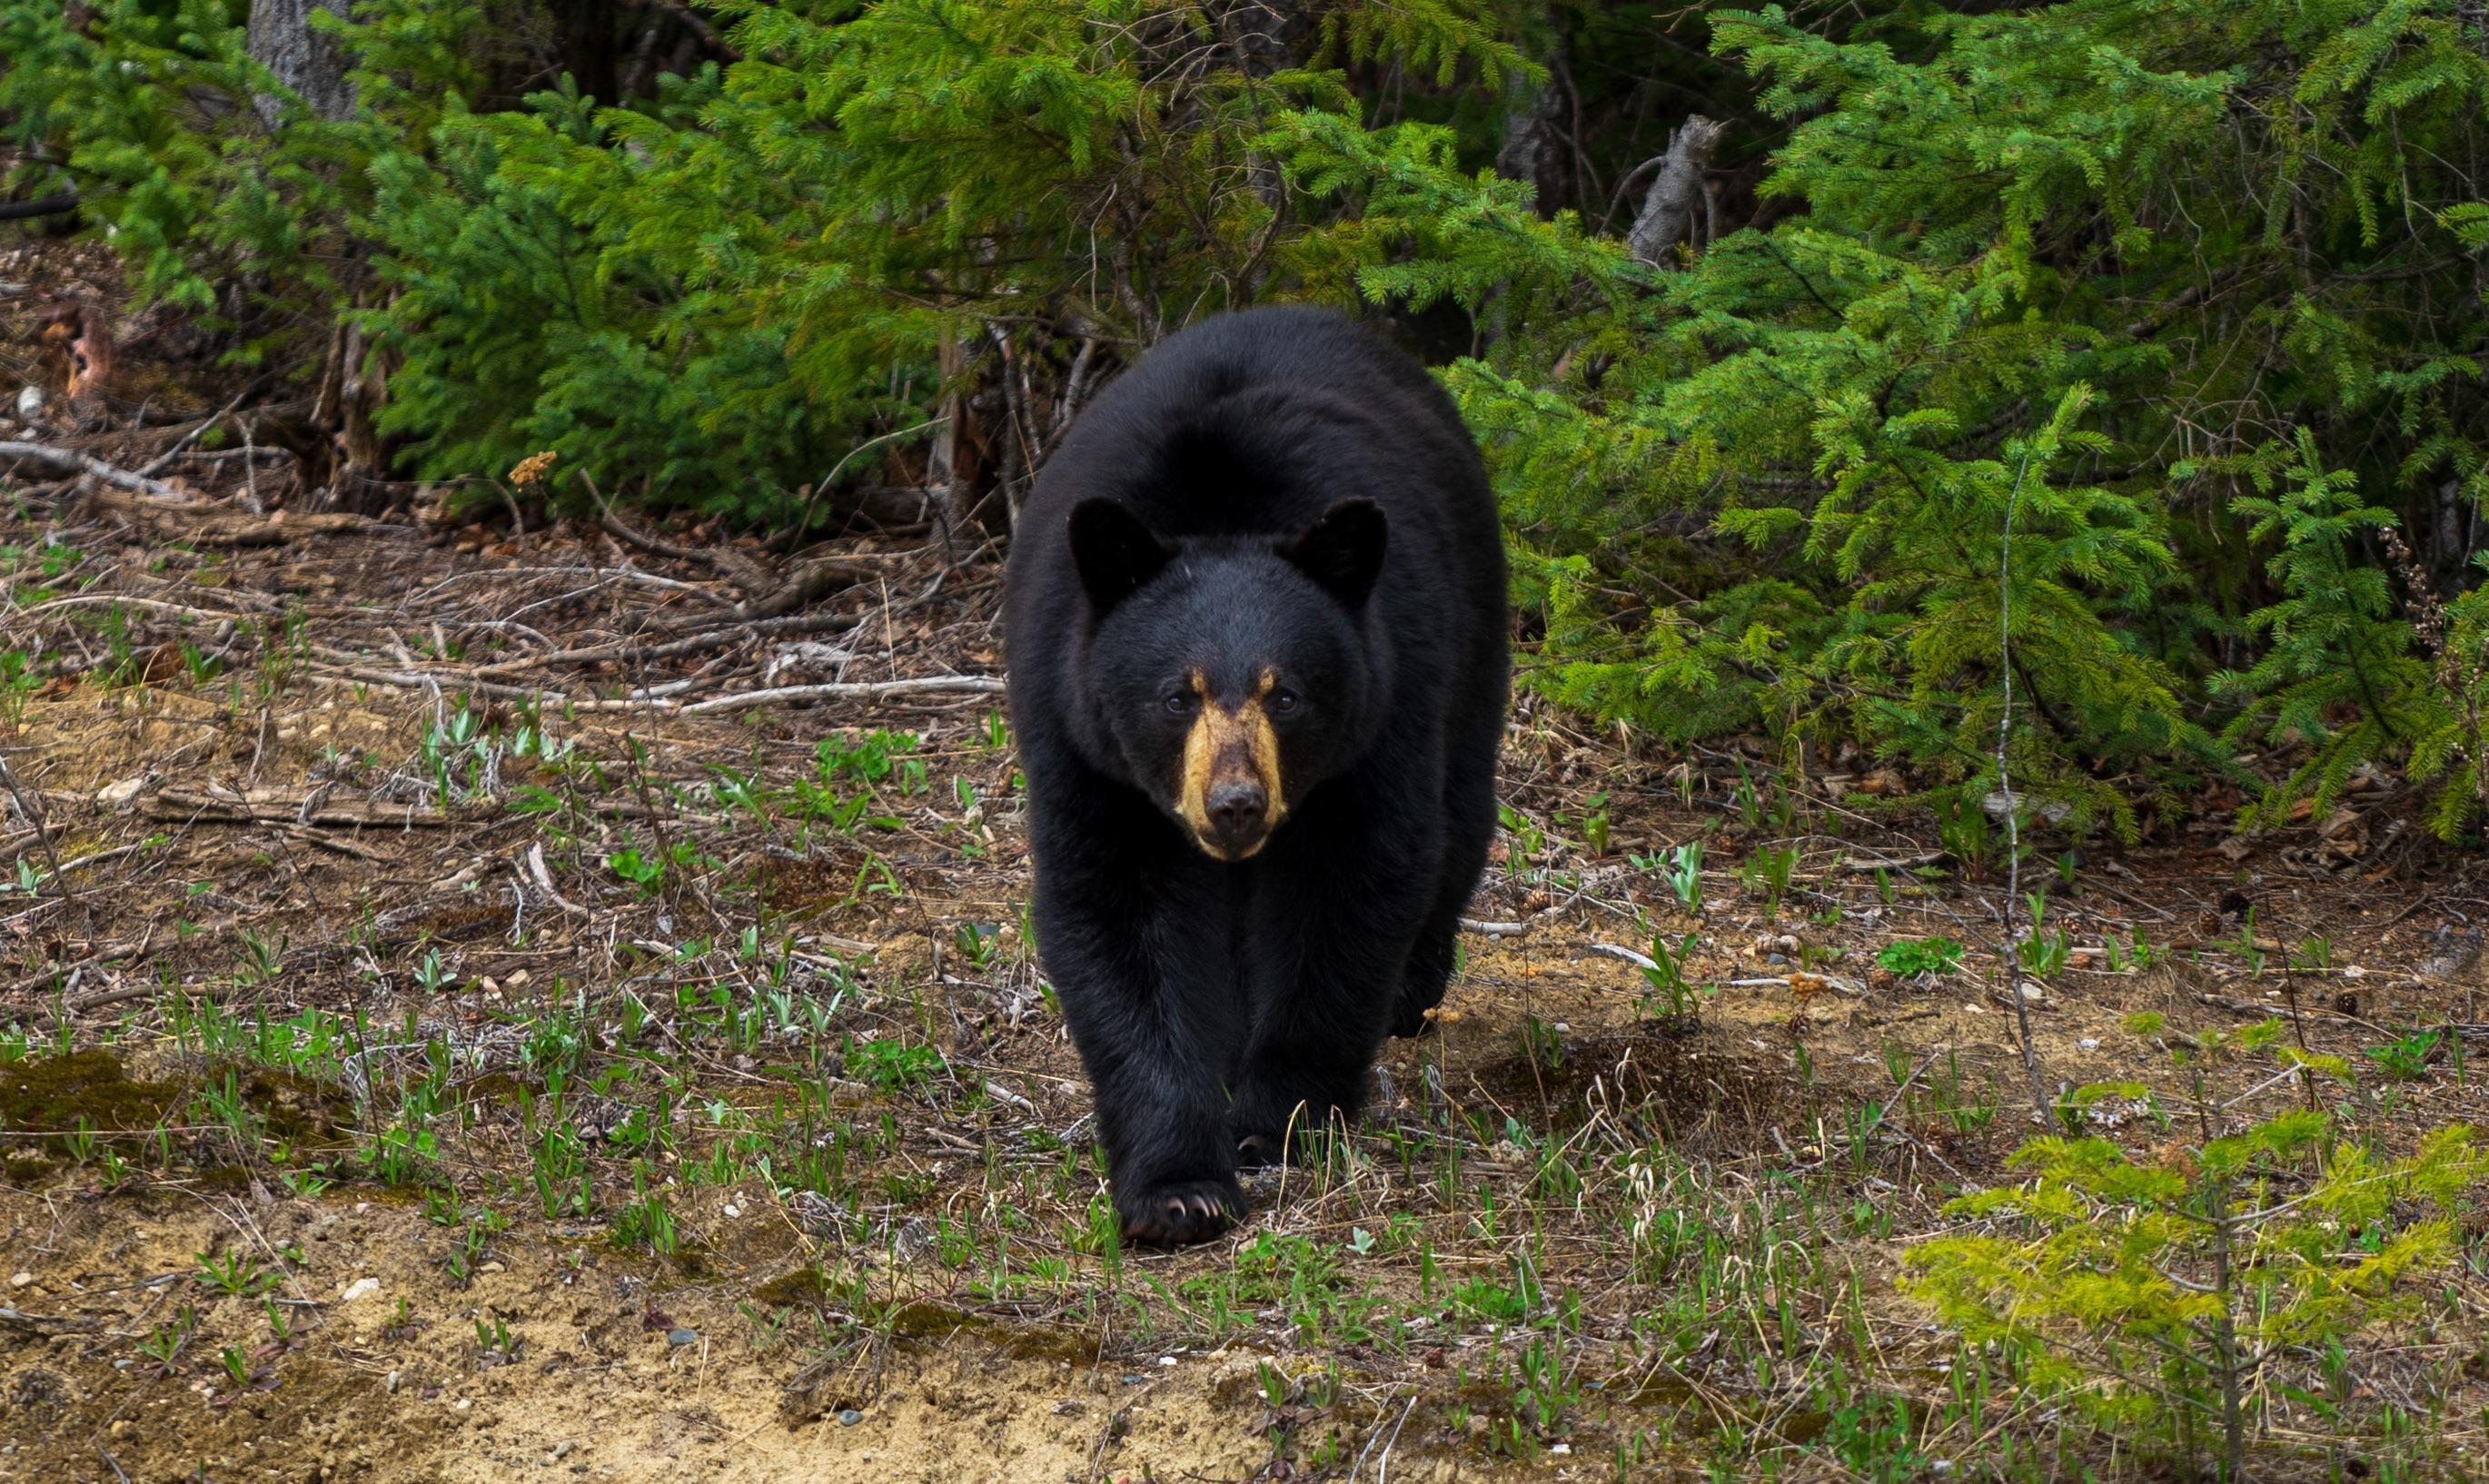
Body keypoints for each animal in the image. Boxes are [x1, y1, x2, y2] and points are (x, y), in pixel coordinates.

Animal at [1004, 304, 1508, 1244]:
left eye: (1287, 694)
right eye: (1178, 695)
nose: (1235, 804)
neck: (1219, 512)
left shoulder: (1385, 702)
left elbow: (1350, 887)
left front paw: (1275, 1123)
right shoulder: (1080, 739)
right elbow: (1119, 914)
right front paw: (1178, 1187)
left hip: (1472, 628)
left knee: (1460, 815)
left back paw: (1411, 994)